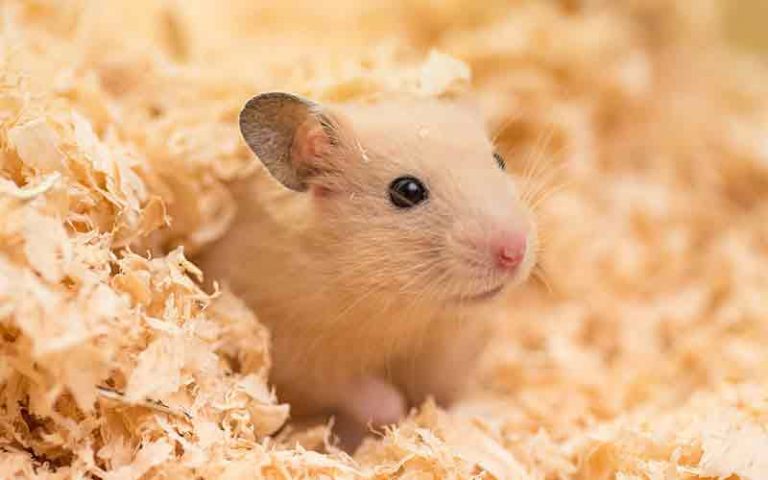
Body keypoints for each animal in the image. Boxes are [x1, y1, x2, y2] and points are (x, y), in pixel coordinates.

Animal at [197, 92, 537, 446]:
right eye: (407, 191)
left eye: (499, 160)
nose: (515, 251)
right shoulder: (290, 349)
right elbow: (351, 388)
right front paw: (395, 412)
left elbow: (448, 391)